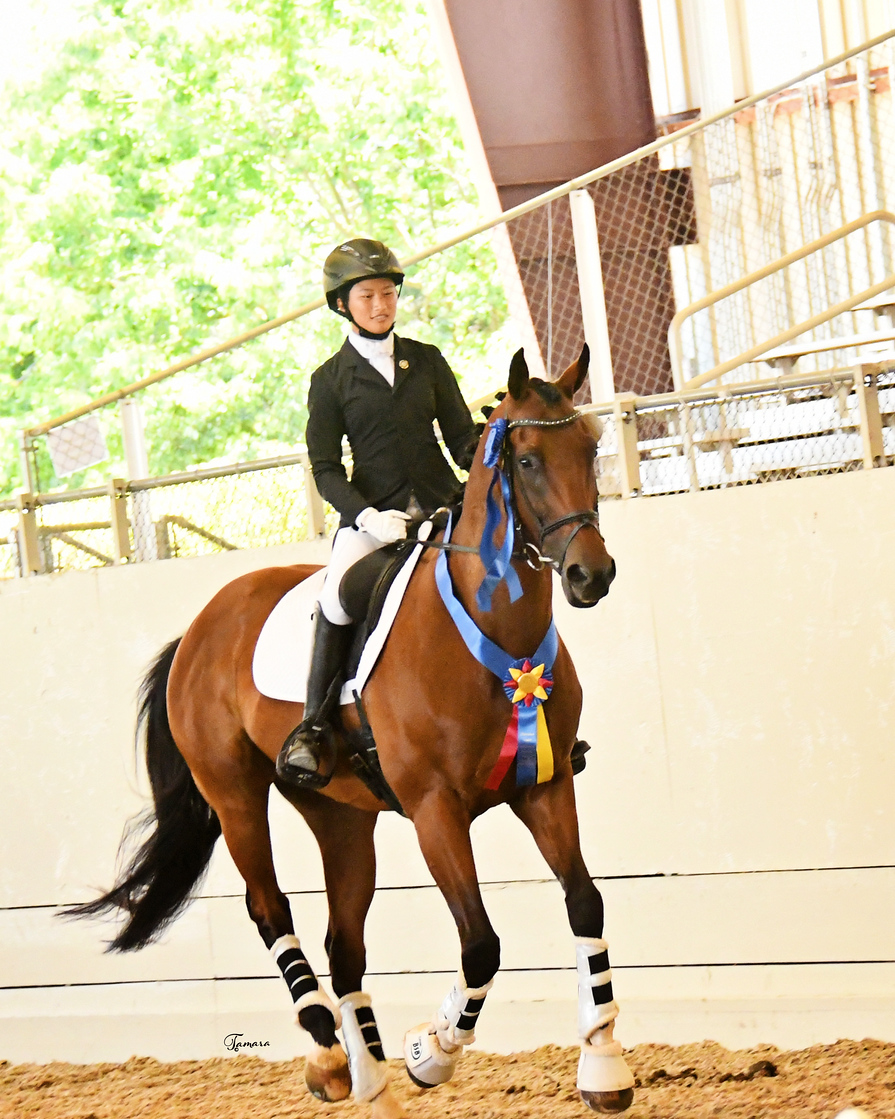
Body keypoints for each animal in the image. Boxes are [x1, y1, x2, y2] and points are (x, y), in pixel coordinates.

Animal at [66, 346, 634, 1116]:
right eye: (526, 460)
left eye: (589, 448)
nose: (589, 574)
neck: (493, 636)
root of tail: (201, 625)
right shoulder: (434, 810)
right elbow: (480, 943)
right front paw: (430, 1053)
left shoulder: (543, 786)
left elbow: (584, 902)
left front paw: (602, 1062)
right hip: (234, 795)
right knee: (270, 908)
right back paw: (330, 1056)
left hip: (339, 814)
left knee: (345, 946)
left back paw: (370, 1080)